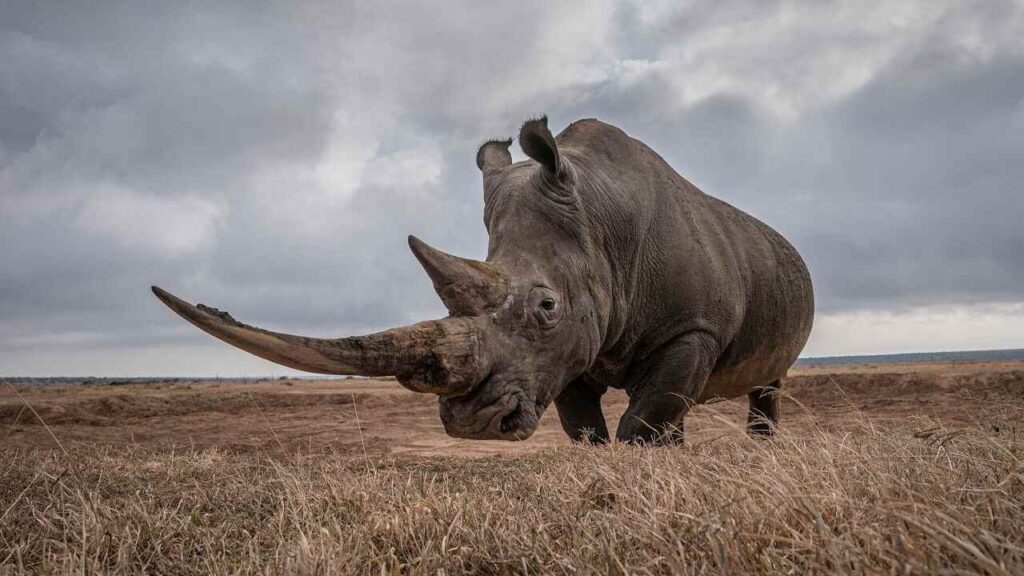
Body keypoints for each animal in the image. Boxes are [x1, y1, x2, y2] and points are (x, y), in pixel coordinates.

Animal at [153, 117, 814, 444]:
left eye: (546, 305)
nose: (474, 426)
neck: (602, 224)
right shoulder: (573, 344)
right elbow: (590, 429)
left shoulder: (692, 328)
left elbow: (641, 426)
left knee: (768, 384)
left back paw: (762, 451)